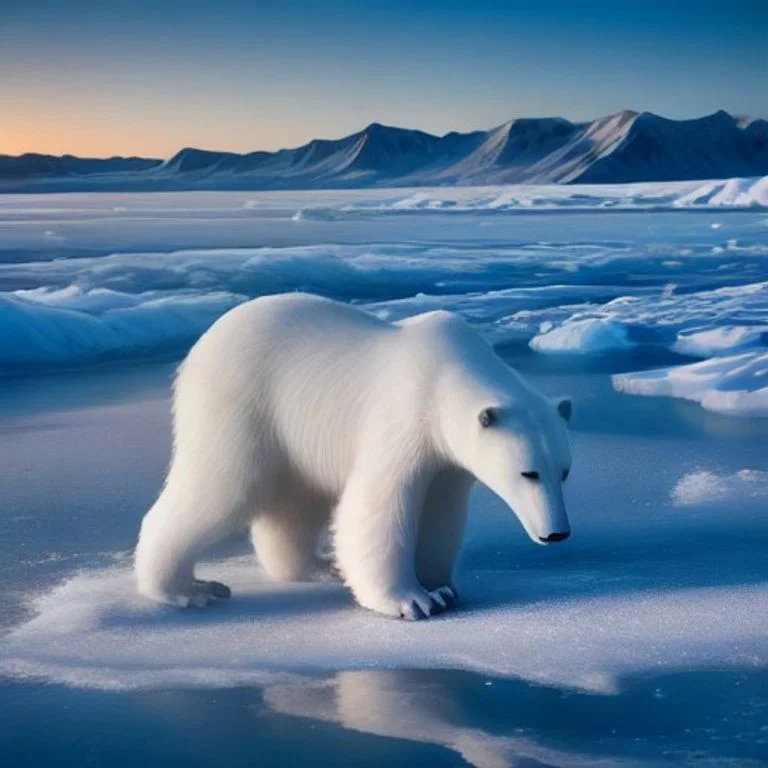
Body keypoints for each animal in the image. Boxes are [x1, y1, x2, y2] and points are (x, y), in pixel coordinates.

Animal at [134, 293, 572, 619]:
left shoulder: (447, 462)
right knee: (221, 487)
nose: (557, 534)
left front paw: (440, 586)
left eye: (564, 472)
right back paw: (185, 589)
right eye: (528, 473)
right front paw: (410, 600)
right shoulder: (402, 419)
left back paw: (316, 566)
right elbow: (379, 504)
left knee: (295, 503)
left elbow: (440, 513)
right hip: (239, 404)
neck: (444, 377)